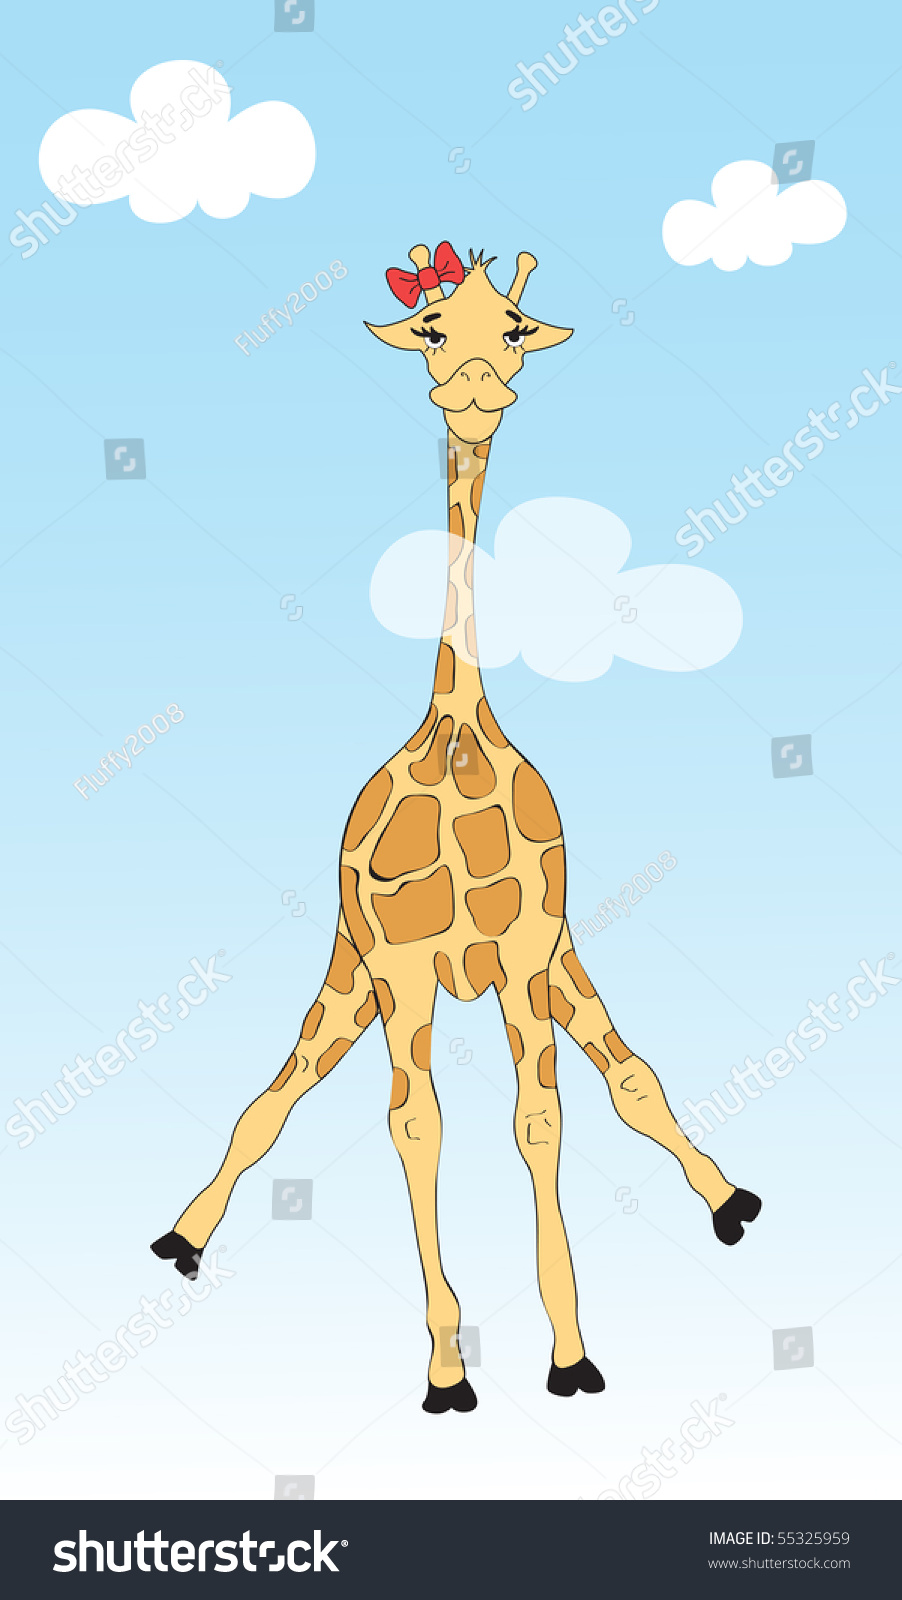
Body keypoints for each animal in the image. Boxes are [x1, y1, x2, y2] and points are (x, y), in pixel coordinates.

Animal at [152, 242, 761, 1413]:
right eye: (432, 326)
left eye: (514, 325)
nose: (476, 389)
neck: (457, 736)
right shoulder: (402, 969)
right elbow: (417, 1126)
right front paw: (446, 1367)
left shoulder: (527, 953)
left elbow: (546, 1118)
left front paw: (569, 1352)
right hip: (350, 970)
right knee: (274, 1096)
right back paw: (182, 1233)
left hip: (545, 961)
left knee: (629, 1074)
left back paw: (727, 1199)